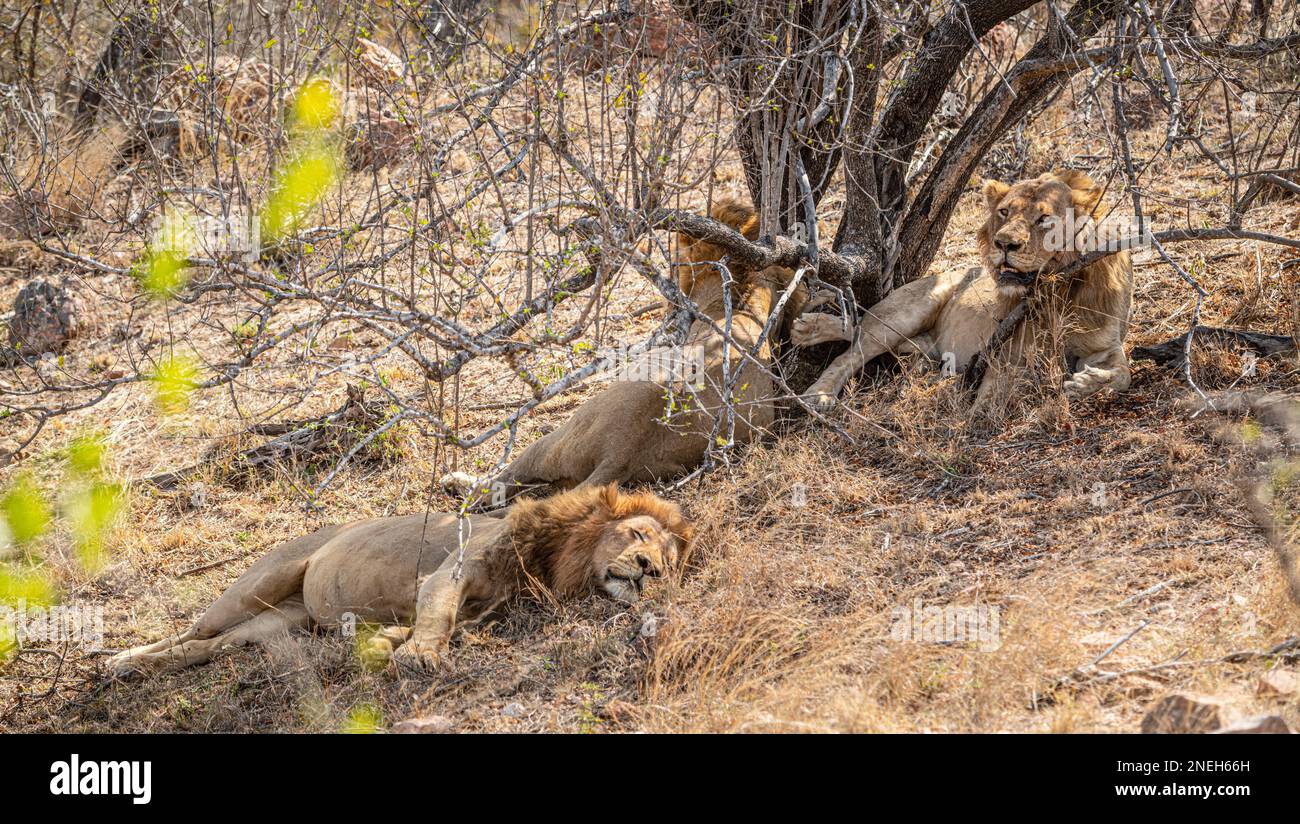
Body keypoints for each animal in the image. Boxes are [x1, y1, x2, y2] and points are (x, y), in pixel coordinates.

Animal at [106, 484, 691, 675]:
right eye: (638, 534)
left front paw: (387, 645)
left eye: (669, 559)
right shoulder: (453, 569)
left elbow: (428, 624)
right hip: (259, 582)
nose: (650, 569)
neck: (555, 556)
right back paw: (121, 662)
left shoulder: (482, 609)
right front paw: (421, 656)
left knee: (209, 647)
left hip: (280, 624)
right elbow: (437, 613)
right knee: (193, 630)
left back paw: (146, 667)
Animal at [789, 170, 1134, 411]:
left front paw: (1088, 381)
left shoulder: (1105, 345)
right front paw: (981, 409)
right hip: (915, 306)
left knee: (867, 331)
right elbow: (1000, 384)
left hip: (922, 344)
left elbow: (1124, 374)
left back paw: (809, 327)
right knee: (855, 347)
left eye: (1044, 218)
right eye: (1004, 212)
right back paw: (818, 388)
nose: (1003, 244)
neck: (1060, 292)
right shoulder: (1008, 350)